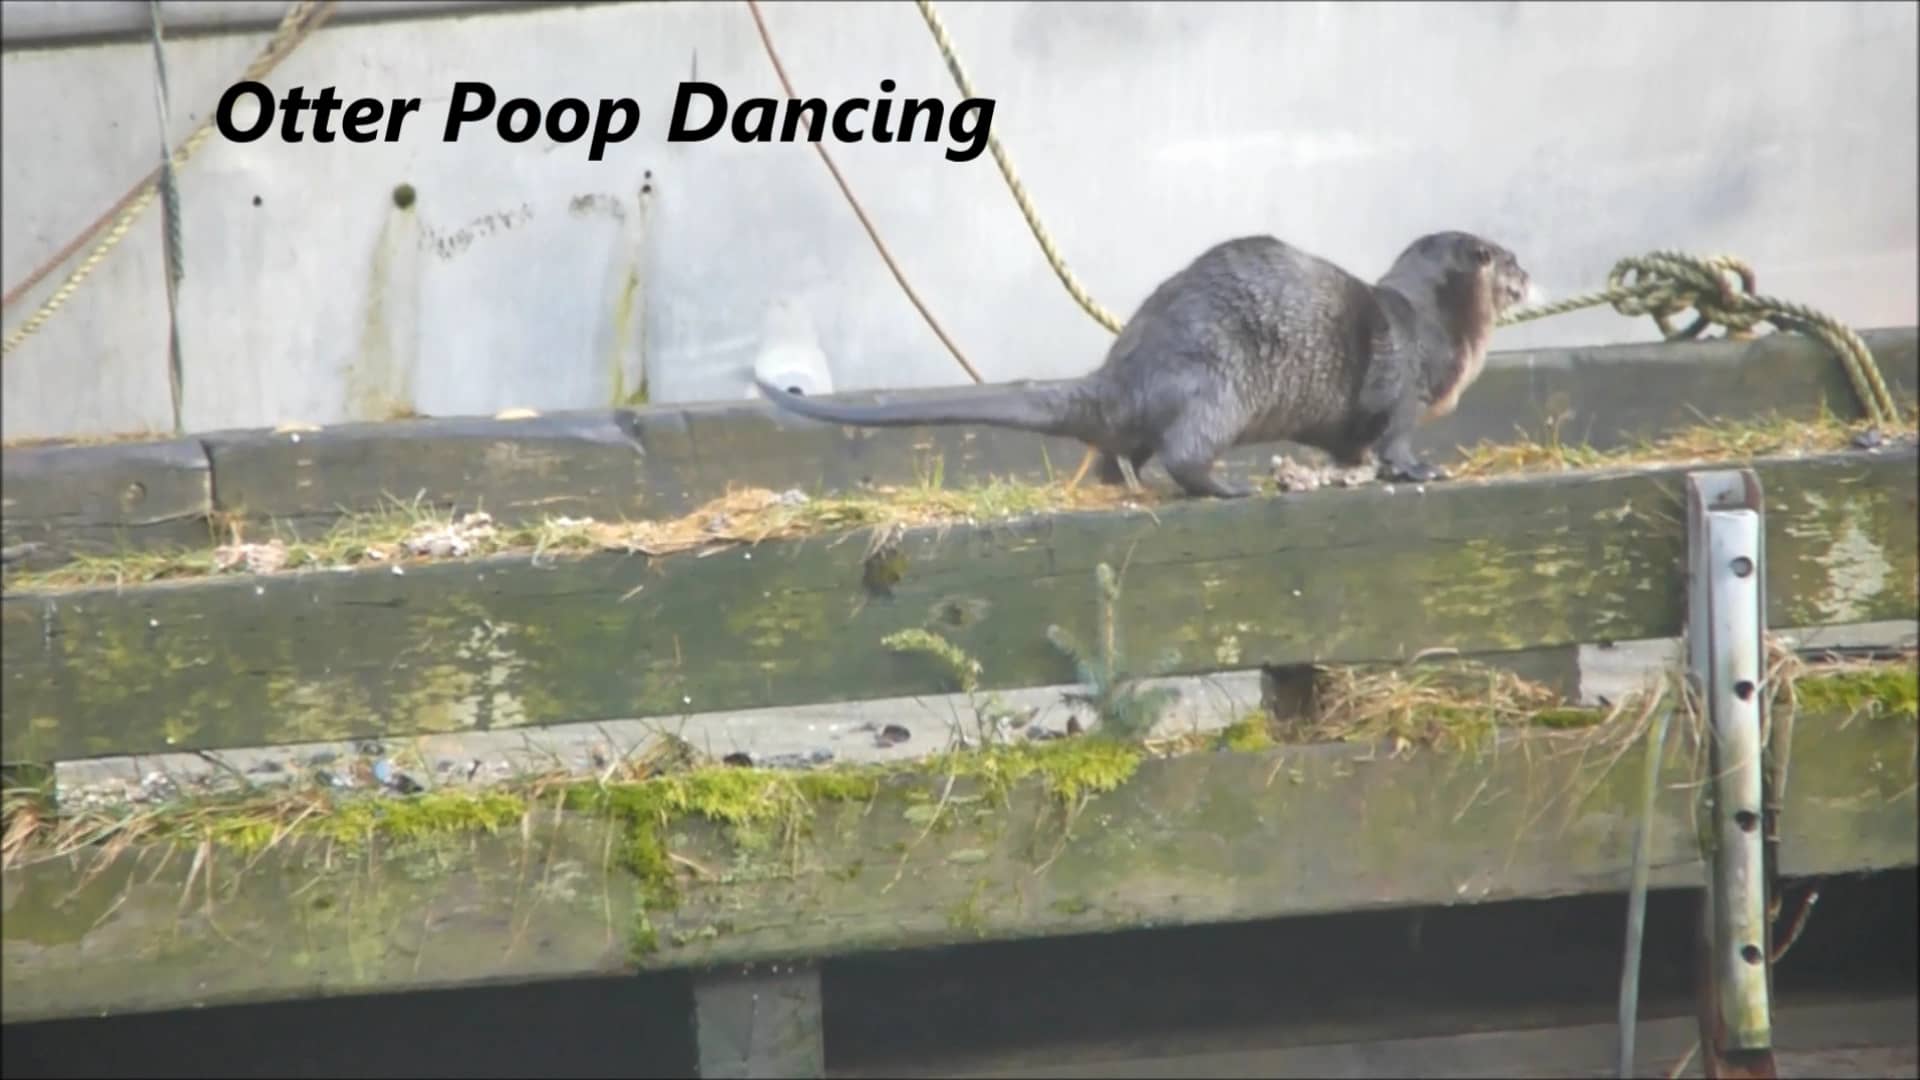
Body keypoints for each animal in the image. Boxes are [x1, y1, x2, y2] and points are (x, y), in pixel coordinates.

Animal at [754, 231, 1532, 498]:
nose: (1528, 276)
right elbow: (1395, 438)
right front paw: (1421, 469)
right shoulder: (1405, 388)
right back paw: (1227, 487)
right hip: (1217, 384)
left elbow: (1354, 445)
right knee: (1184, 450)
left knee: (1116, 451)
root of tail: (1122, 369)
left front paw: (1347, 468)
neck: (1440, 329)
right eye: (1511, 261)